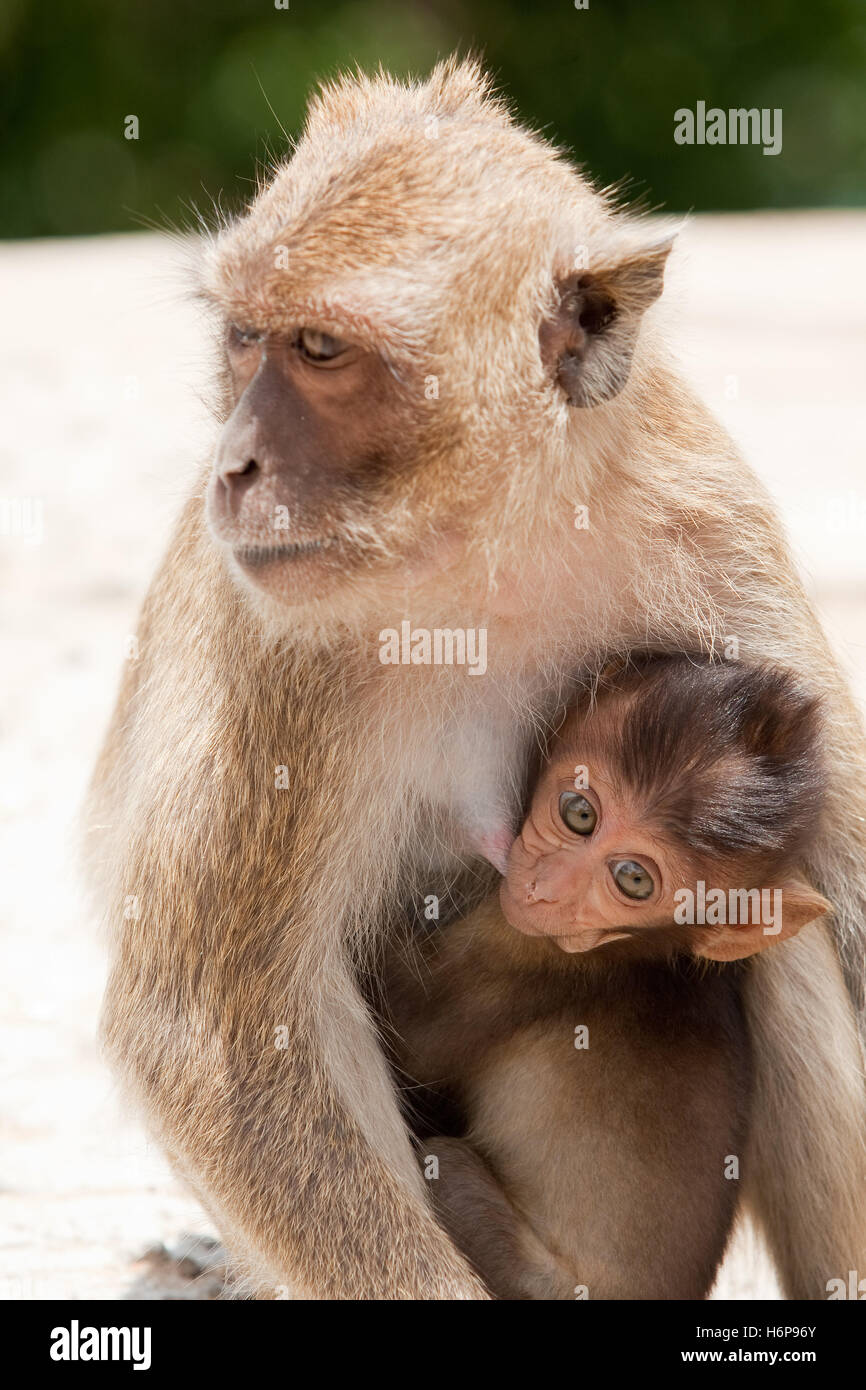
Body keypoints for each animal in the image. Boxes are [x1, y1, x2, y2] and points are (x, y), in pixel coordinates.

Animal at [385, 654, 833, 1299]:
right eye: (580, 813)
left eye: (634, 880)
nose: (546, 888)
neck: (633, 948)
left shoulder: (511, 956)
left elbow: (401, 1037)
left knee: (446, 1165)